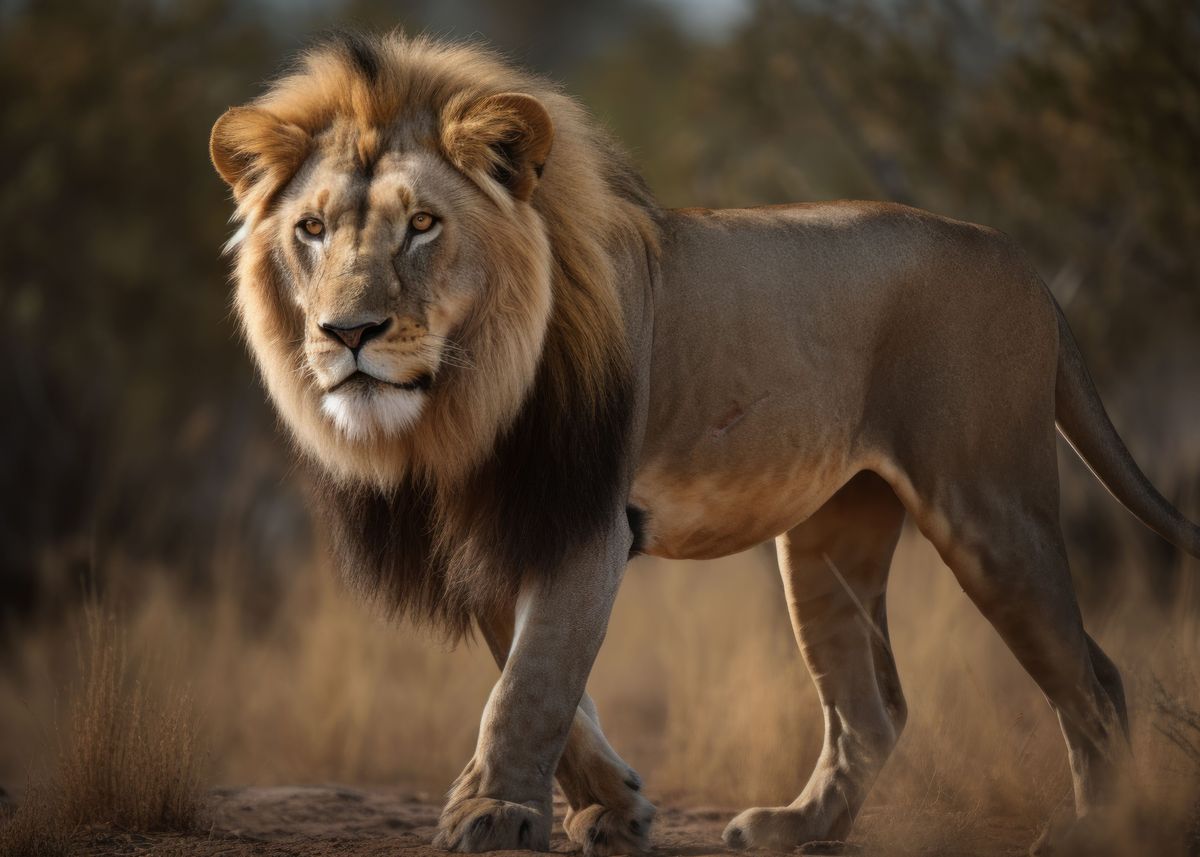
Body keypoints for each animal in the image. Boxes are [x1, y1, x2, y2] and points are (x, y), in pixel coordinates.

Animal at [210, 31, 1200, 856]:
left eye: (423, 225)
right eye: (311, 230)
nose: (347, 332)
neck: (460, 404)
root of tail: (1025, 263)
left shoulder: (583, 519)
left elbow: (530, 685)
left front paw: (494, 812)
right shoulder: (498, 527)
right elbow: (543, 686)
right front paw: (616, 807)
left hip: (987, 502)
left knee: (1096, 677)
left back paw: (1089, 830)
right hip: (829, 536)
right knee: (874, 708)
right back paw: (796, 827)